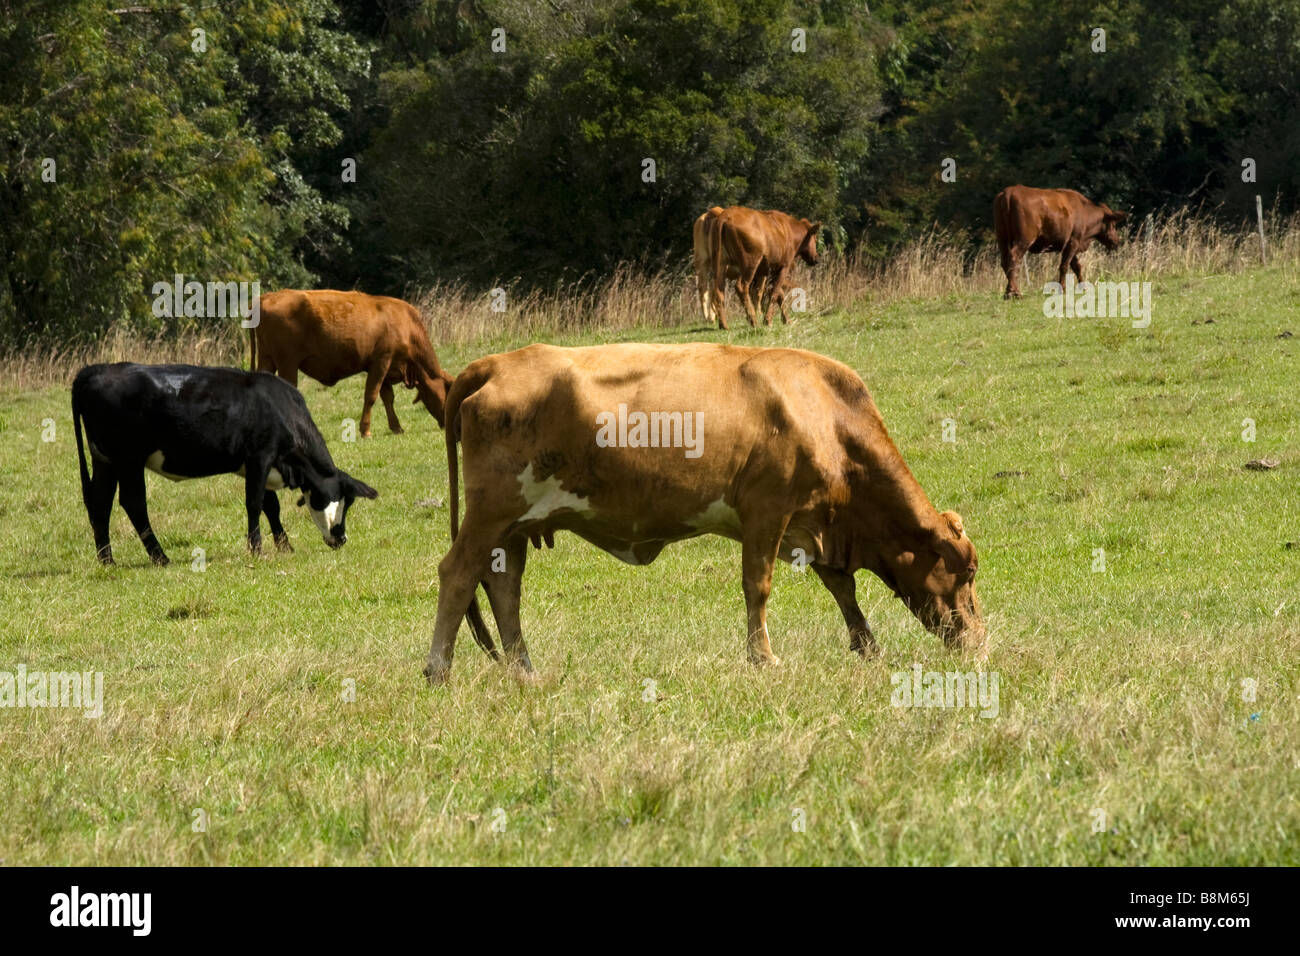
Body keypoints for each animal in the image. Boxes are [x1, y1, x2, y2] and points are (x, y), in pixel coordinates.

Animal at [72, 362, 378, 566]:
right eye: (339, 499)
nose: (341, 538)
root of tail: (97, 369)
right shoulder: (260, 457)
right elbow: (254, 503)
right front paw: (256, 548)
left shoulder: (260, 466)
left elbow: (271, 506)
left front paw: (284, 545)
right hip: (128, 460)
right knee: (133, 503)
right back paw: (160, 557)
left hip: (105, 460)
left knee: (100, 503)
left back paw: (107, 560)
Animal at [250, 290, 455, 438]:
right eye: (448, 392)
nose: (447, 424)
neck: (407, 326)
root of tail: (266, 297)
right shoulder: (381, 362)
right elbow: (371, 396)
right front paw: (366, 431)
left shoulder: (387, 368)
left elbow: (387, 397)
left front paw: (396, 427)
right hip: (287, 364)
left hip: (267, 360)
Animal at [422, 343, 984, 685]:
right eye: (968, 574)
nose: (979, 641)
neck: (826, 415)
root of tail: (496, 362)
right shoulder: (767, 510)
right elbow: (758, 586)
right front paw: (764, 658)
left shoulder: (817, 523)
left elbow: (841, 587)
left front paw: (866, 645)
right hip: (491, 512)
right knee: (458, 573)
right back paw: (439, 669)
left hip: (514, 527)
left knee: (503, 587)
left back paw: (524, 670)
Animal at [994, 185, 1127, 298]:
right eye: (1113, 224)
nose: (1117, 241)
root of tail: (1009, 191)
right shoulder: (1073, 241)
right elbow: (1064, 266)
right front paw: (1062, 289)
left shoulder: (1070, 243)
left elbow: (1077, 266)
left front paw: (1083, 287)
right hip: (1024, 239)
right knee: (1013, 258)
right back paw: (1015, 292)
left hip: (1002, 237)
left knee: (1004, 261)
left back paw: (1008, 292)